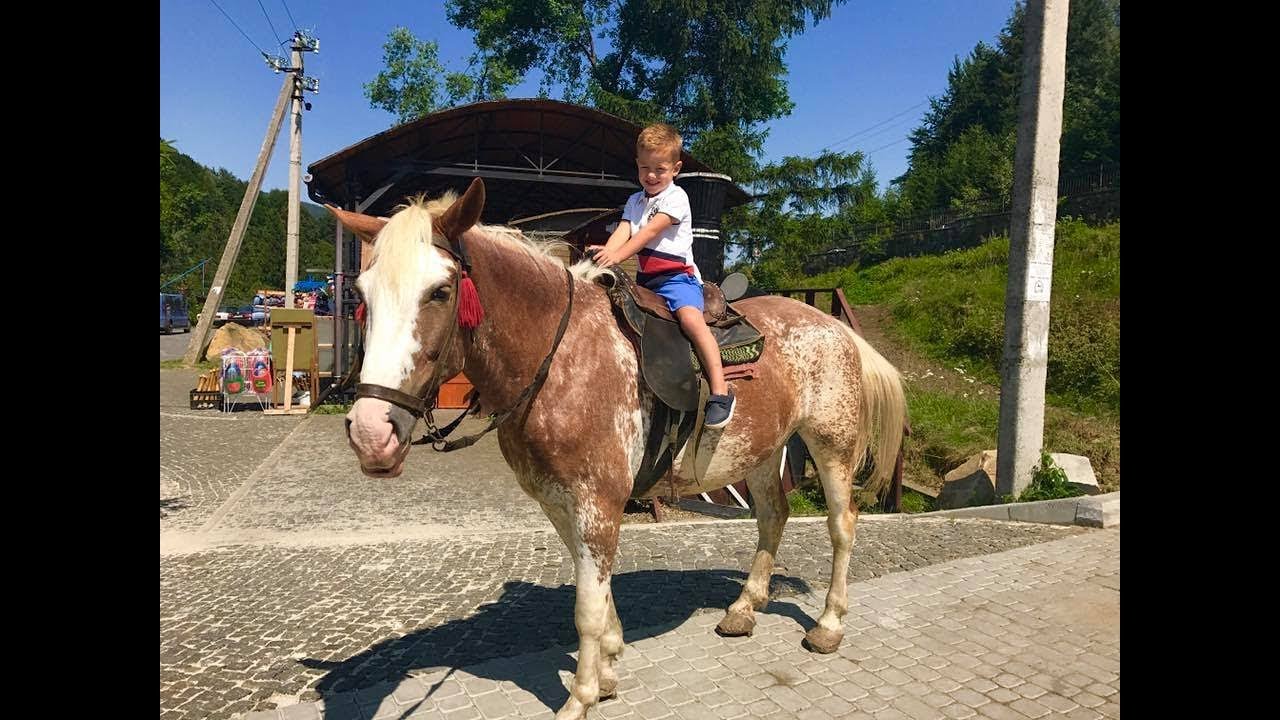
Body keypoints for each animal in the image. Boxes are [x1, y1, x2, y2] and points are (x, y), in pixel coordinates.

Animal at [330, 178, 906, 720]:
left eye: (440, 291)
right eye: (362, 293)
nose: (371, 432)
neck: (559, 357)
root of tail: (833, 327)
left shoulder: (598, 504)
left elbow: (586, 607)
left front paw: (580, 697)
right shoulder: (561, 504)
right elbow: (597, 595)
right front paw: (608, 667)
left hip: (830, 443)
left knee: (841, 524)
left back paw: (828, 625)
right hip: (763, 451)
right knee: (773, 516)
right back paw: (744, 609)